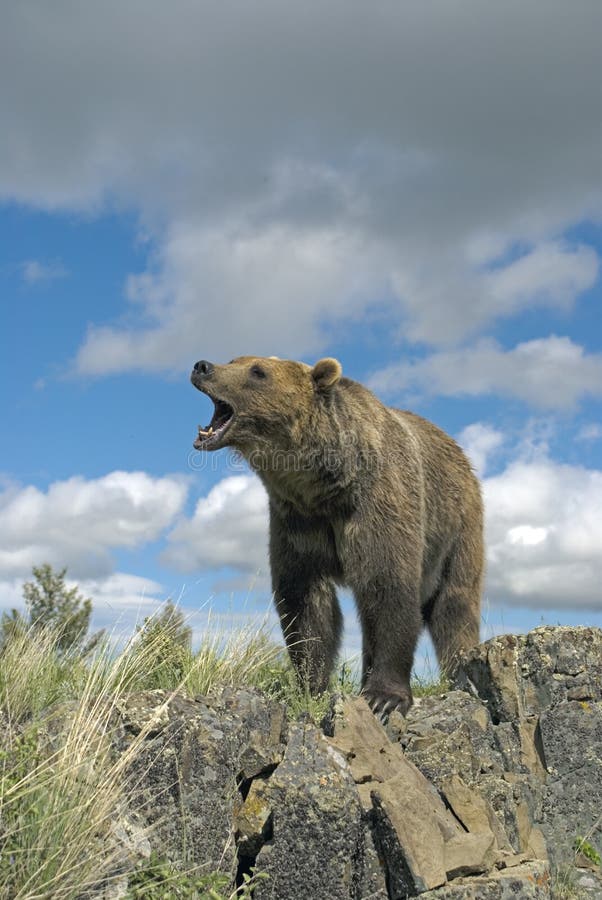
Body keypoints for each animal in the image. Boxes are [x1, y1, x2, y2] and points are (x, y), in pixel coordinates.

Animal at [191, 355, 483, 716]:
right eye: (234, 360)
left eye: (258, 371)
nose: (203, 367)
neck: (323, 486)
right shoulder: (296, 523)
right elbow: (305, 603)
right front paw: (310, 685)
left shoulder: (377, 503)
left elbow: (388, 586)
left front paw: (385, 697)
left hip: (458, 526)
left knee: (454, 604)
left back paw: (460, 671)